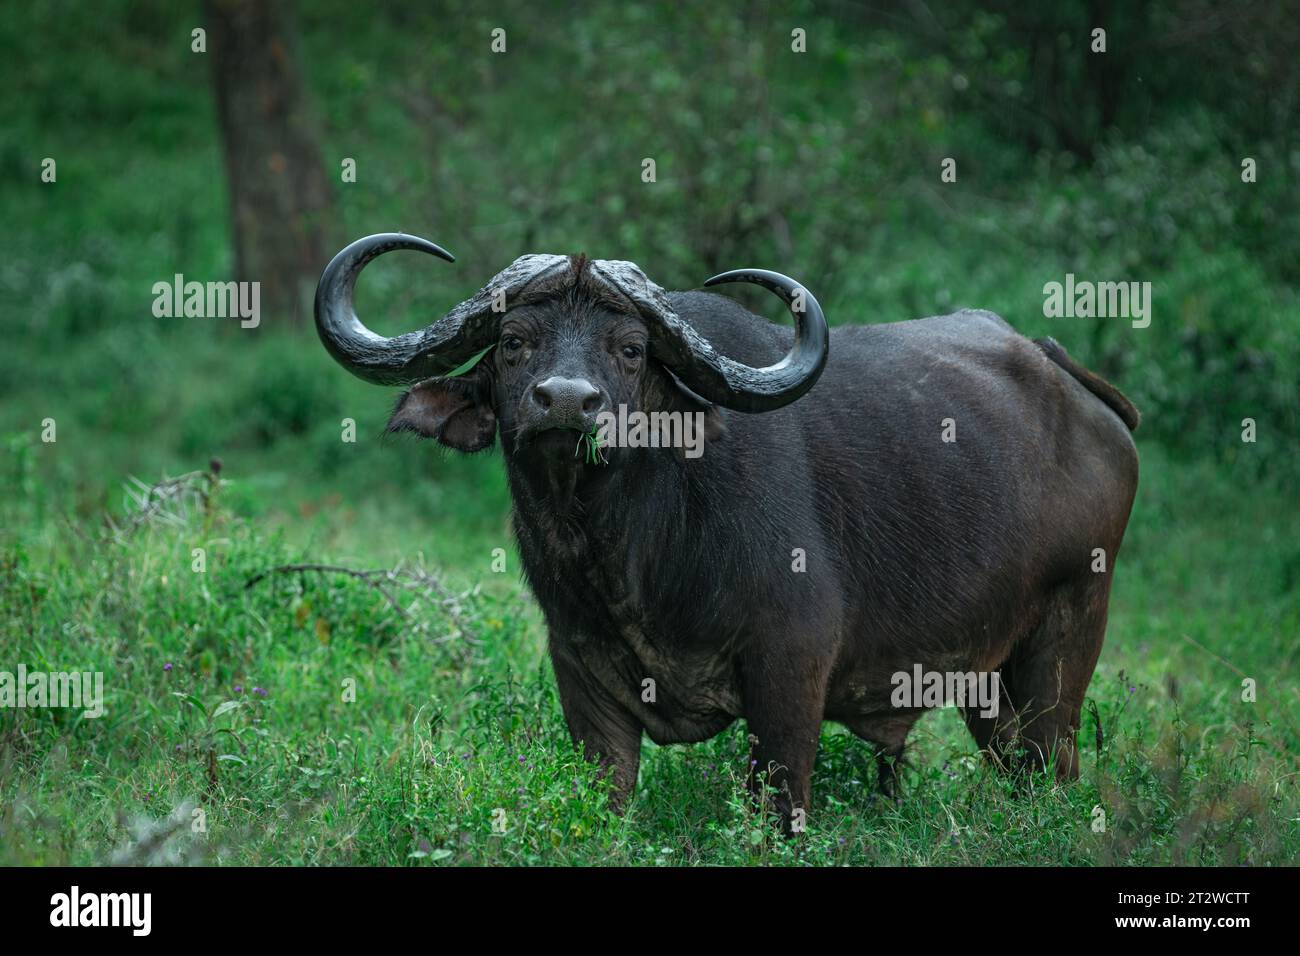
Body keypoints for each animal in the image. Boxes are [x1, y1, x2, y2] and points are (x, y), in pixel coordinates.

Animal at [315, 233, 1140, 830]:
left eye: (630, 350)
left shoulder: (789, 674)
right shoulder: (581, 677)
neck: (629, 554)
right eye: (514, 341)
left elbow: (778, 804)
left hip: (1065, 643)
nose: (567, 403)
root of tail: (1072, 384)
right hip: (987, 683)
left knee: (1052, 770)